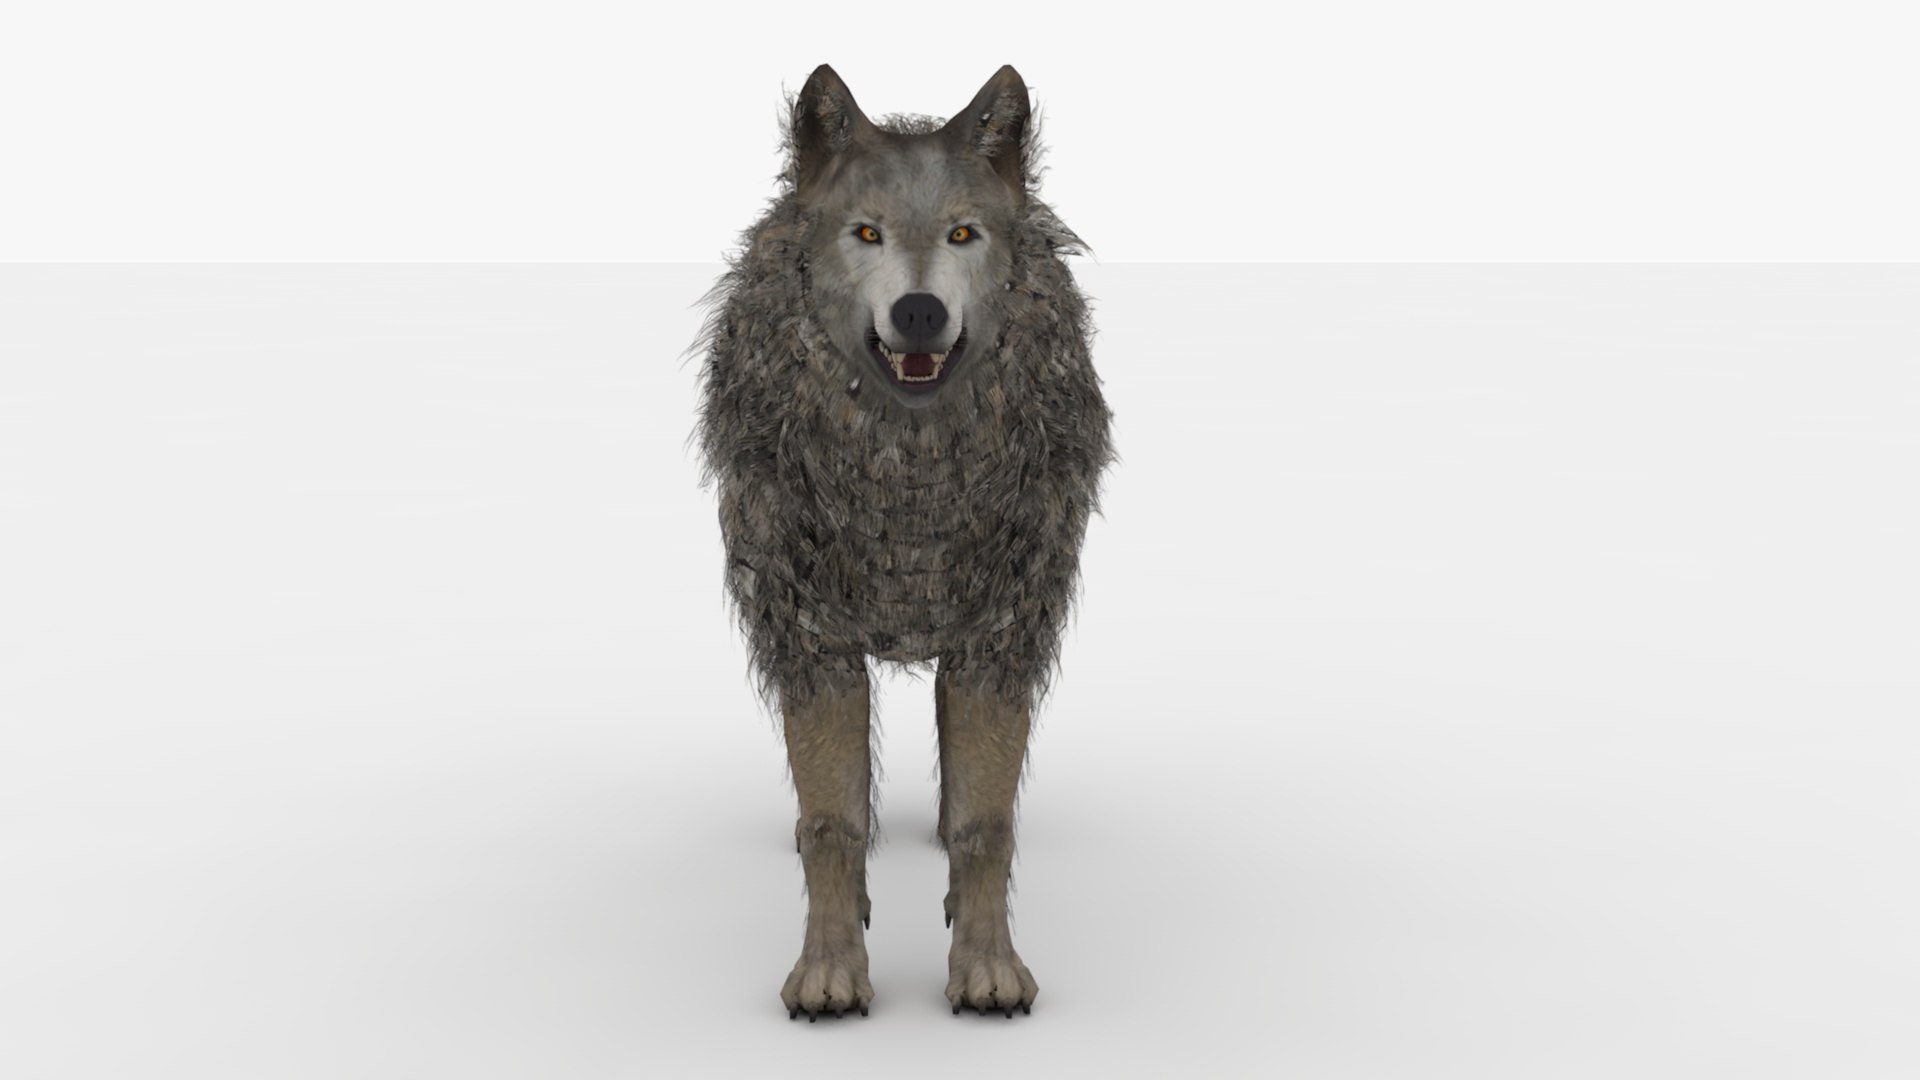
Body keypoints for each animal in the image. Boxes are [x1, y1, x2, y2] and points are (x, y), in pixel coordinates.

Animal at [690, 63, 1116, 1020]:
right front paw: (829, 970)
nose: (918, 312)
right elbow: (832, 822)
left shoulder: (1003, 628)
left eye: (962, 233)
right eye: (866, 234)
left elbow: (987, 822)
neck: (910, 477)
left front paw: (988, 966)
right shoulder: (808, 631)